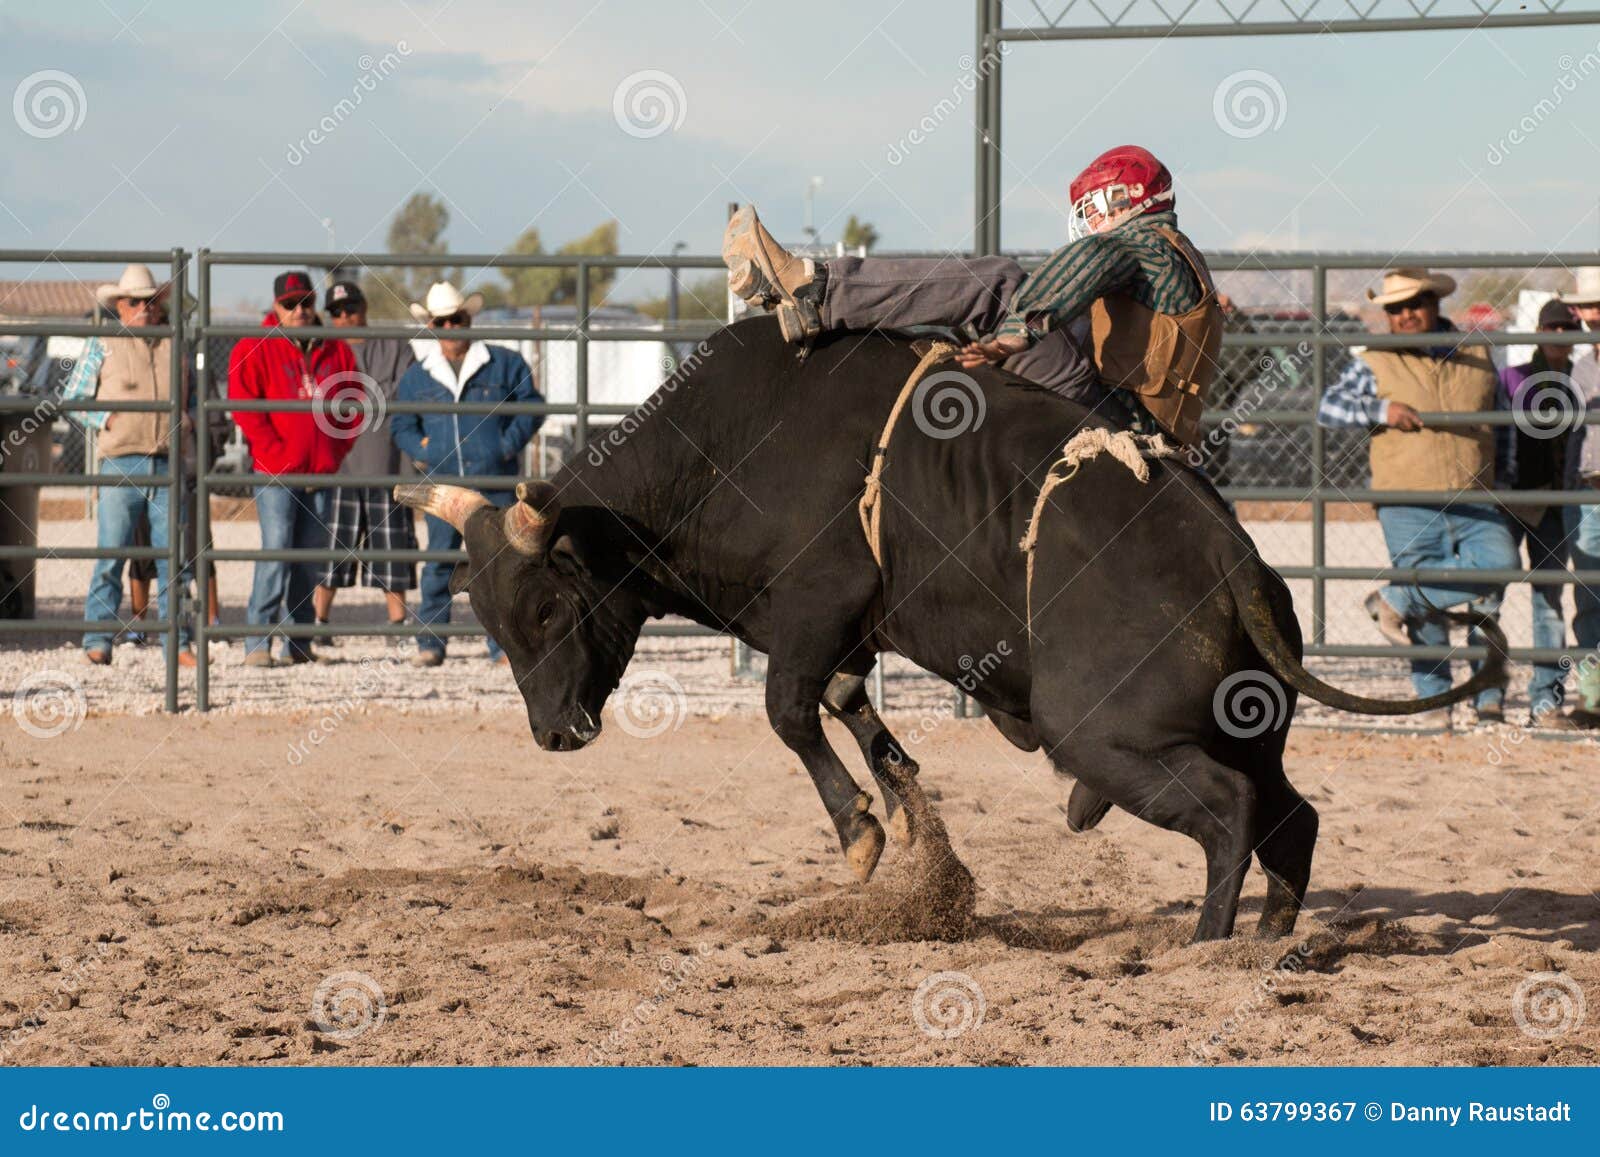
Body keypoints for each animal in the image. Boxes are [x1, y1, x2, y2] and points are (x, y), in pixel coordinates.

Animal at [396, 318, 1504, 943]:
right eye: (490, 619)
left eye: (546, 607)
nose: (552, 732)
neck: (722, 446)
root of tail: (1231, 562)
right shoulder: (849, 634)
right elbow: (854, 713)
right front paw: (912, 824)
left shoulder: (818, 601)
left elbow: (789, 709)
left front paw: (861, 834)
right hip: (1242, 728)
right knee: (1292, 815)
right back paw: (1272, 936)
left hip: (1108, 733)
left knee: (1231, 812)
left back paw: (1205, 941)